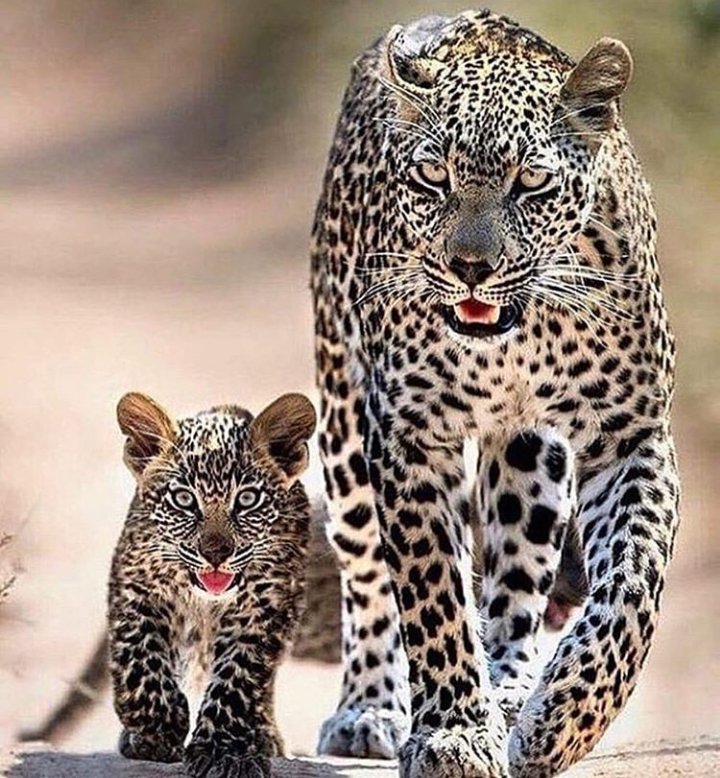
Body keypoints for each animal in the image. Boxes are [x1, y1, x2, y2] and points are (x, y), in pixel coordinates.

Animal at [107, 390, 316, 778]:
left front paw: (224, 753)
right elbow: (138, 656)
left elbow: (237, 679)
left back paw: (262, 735)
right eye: (184, 499)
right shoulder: (136, 587)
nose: (216, 553)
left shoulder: (261, 609)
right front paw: (158, 727)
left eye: (247, 499)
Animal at [311, 9, 680, 778]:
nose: (471, 268)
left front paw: (559, 723)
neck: (517, 335)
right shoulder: (412, 440)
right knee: (366, 572)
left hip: (532, 454)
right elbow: (432, 595)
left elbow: (633, 590)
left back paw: (509, 690)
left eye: (531, 181)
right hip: (343, 423)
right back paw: (370, 709)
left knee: (514, 580)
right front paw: (451, 731)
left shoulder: (631, 437)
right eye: (433, 175)